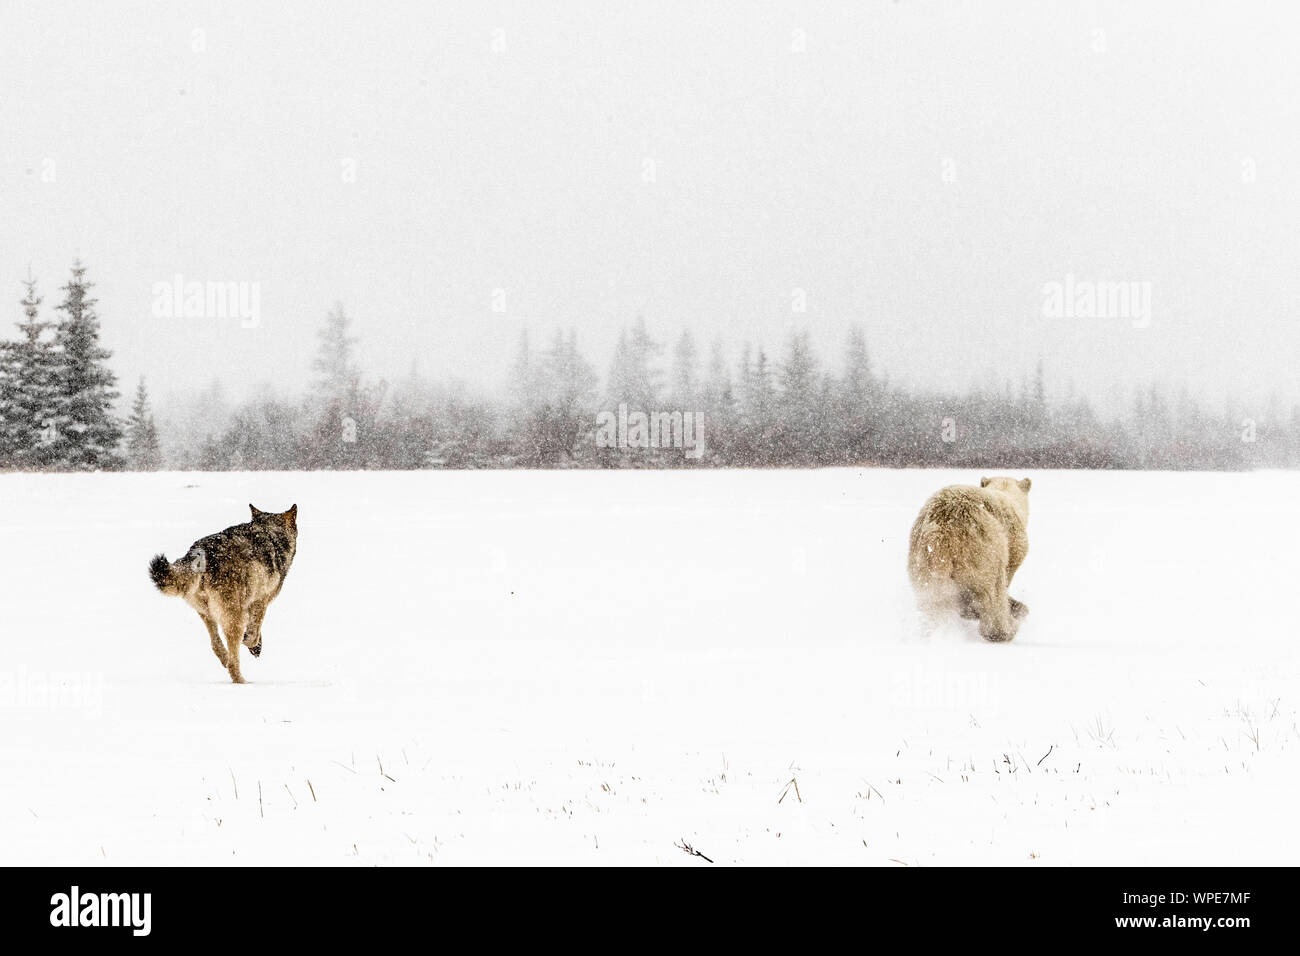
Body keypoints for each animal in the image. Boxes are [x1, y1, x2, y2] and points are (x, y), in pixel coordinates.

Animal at [149, 504, 298, 683]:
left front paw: (256, 647)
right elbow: (255, 630)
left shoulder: (249, 604)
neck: (271, 534)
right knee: (233, 660)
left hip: (207, 613)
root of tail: (201, 553)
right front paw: (251, 642)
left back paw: (226, 659)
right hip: (233, 617)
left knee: (215, 644)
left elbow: (254, 630)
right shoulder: (261, 600)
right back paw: (242, 681)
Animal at [907, 477, 1030, 642]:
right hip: (983, 547)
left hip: (921, 559)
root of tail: (941, 533)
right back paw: (1004, 631)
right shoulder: (1013, 544)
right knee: (993, 590)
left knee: (931, 598)